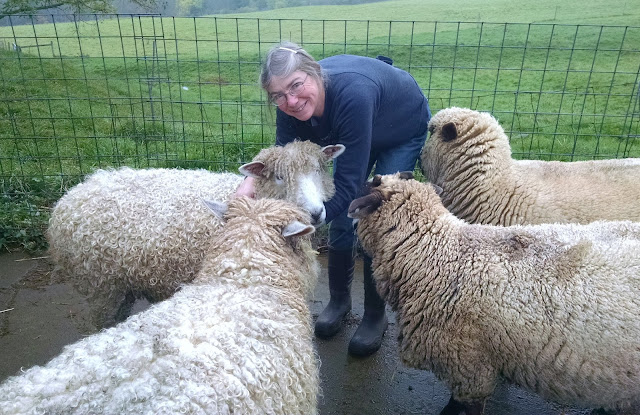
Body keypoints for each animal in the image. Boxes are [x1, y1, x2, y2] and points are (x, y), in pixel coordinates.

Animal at [47, 140, 344, 328]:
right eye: (280, 177)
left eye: (318, 169)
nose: (316, 213)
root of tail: (68, 200)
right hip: (99, 286)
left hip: (119, 285)